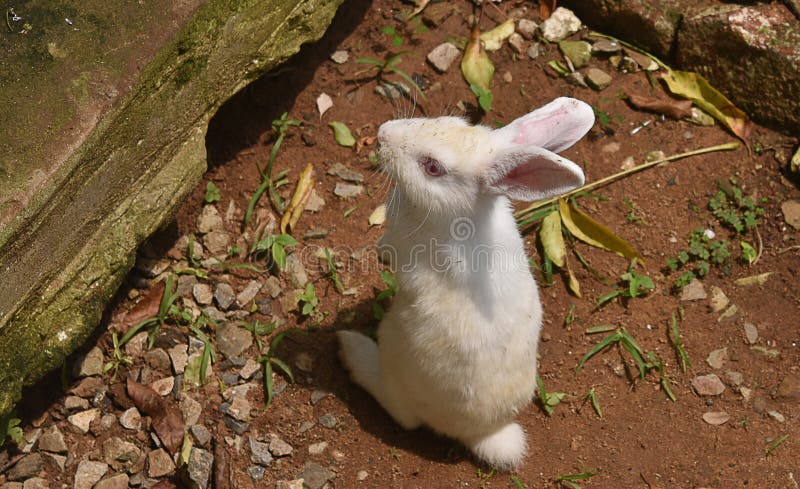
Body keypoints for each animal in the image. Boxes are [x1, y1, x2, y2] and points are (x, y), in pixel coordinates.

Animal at [337, 97, 594, 470]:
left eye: (433, 167)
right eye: (452, 119)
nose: (382, 135)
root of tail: (486, 433)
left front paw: (380, 251)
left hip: (394, 354)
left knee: (399, 410)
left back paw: (351, 349)